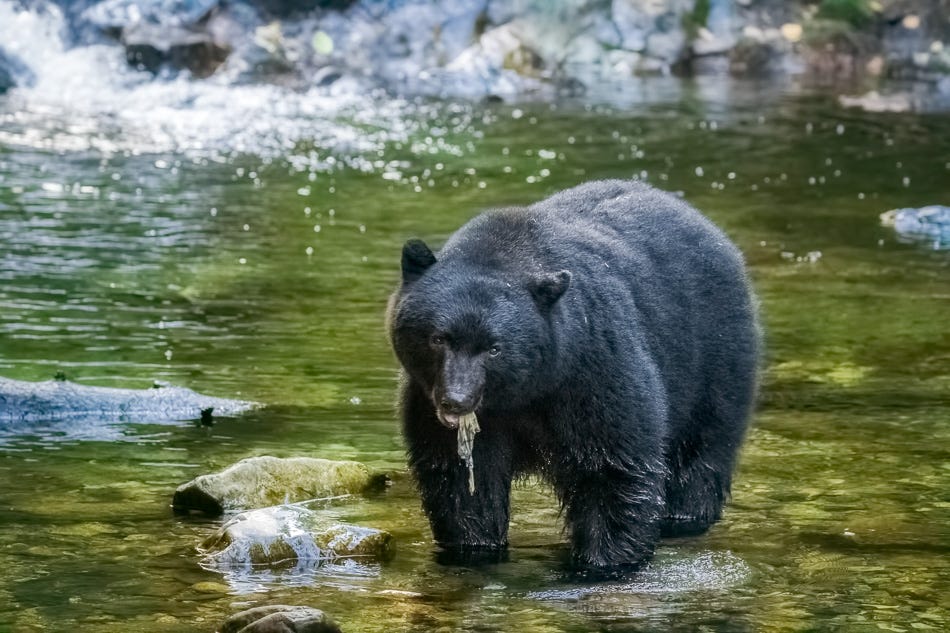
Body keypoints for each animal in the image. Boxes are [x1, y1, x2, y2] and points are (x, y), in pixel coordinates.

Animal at [387, 179, 759, 576]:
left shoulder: (591, 368)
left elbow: (613, 466)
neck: (525, 392)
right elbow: (463, 481)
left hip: (714, 359)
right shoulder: (429, 401)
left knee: (701, 453)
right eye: (439, 338)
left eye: (494, 348)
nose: (456, 400)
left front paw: (603, 563)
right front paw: (473, 550)